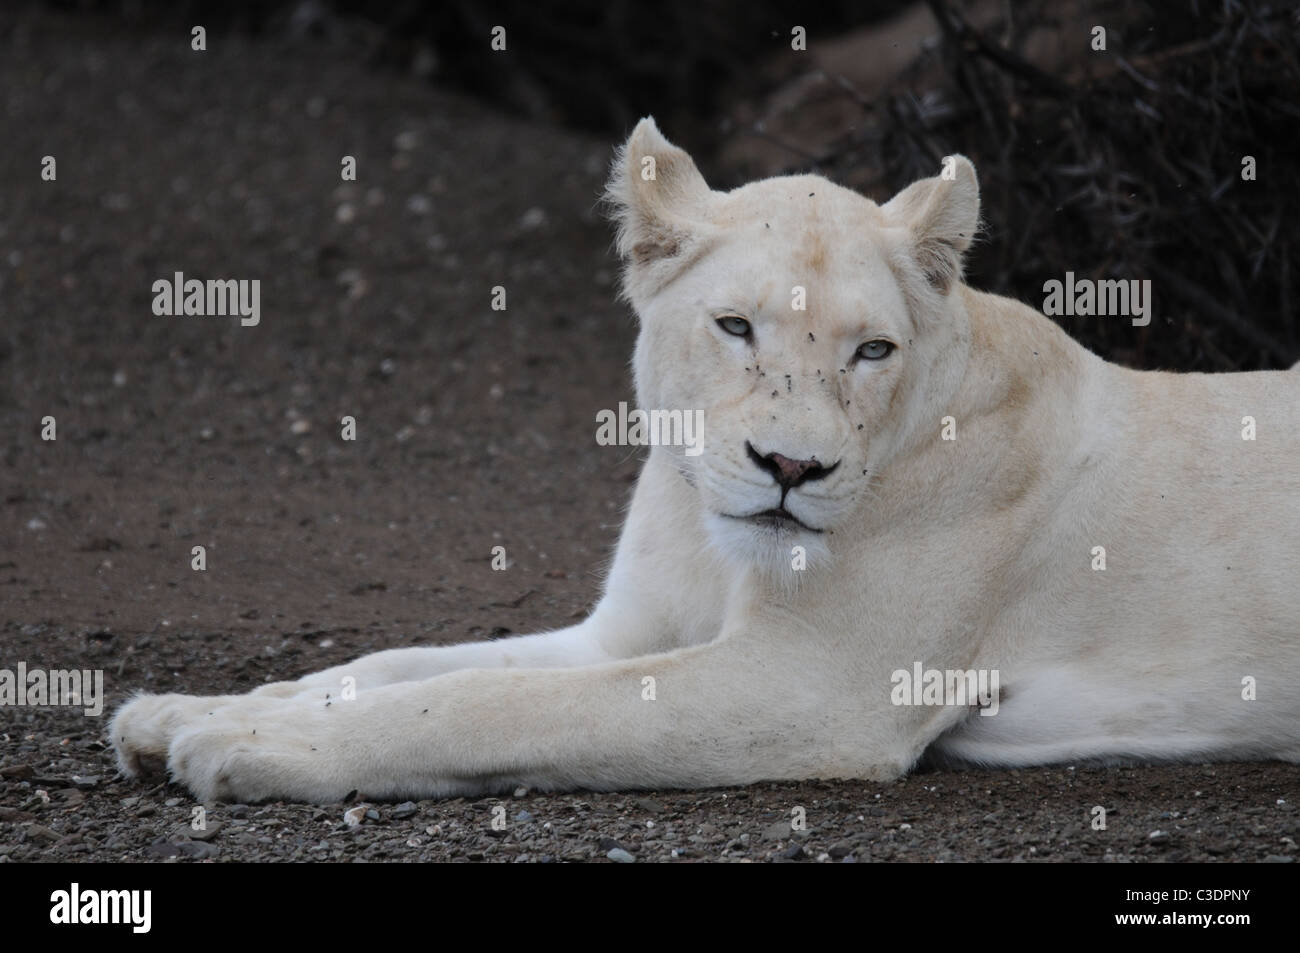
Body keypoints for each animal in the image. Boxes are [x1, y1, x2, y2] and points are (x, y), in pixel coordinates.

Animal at [111, 118, 1300, 803]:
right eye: (735, 326)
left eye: (872, 350)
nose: (791, 468)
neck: (709, 532)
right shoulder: (625, 632)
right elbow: (400, 665)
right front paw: (188, 709)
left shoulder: (815, 686)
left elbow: (489, 701)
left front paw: (253, 744)